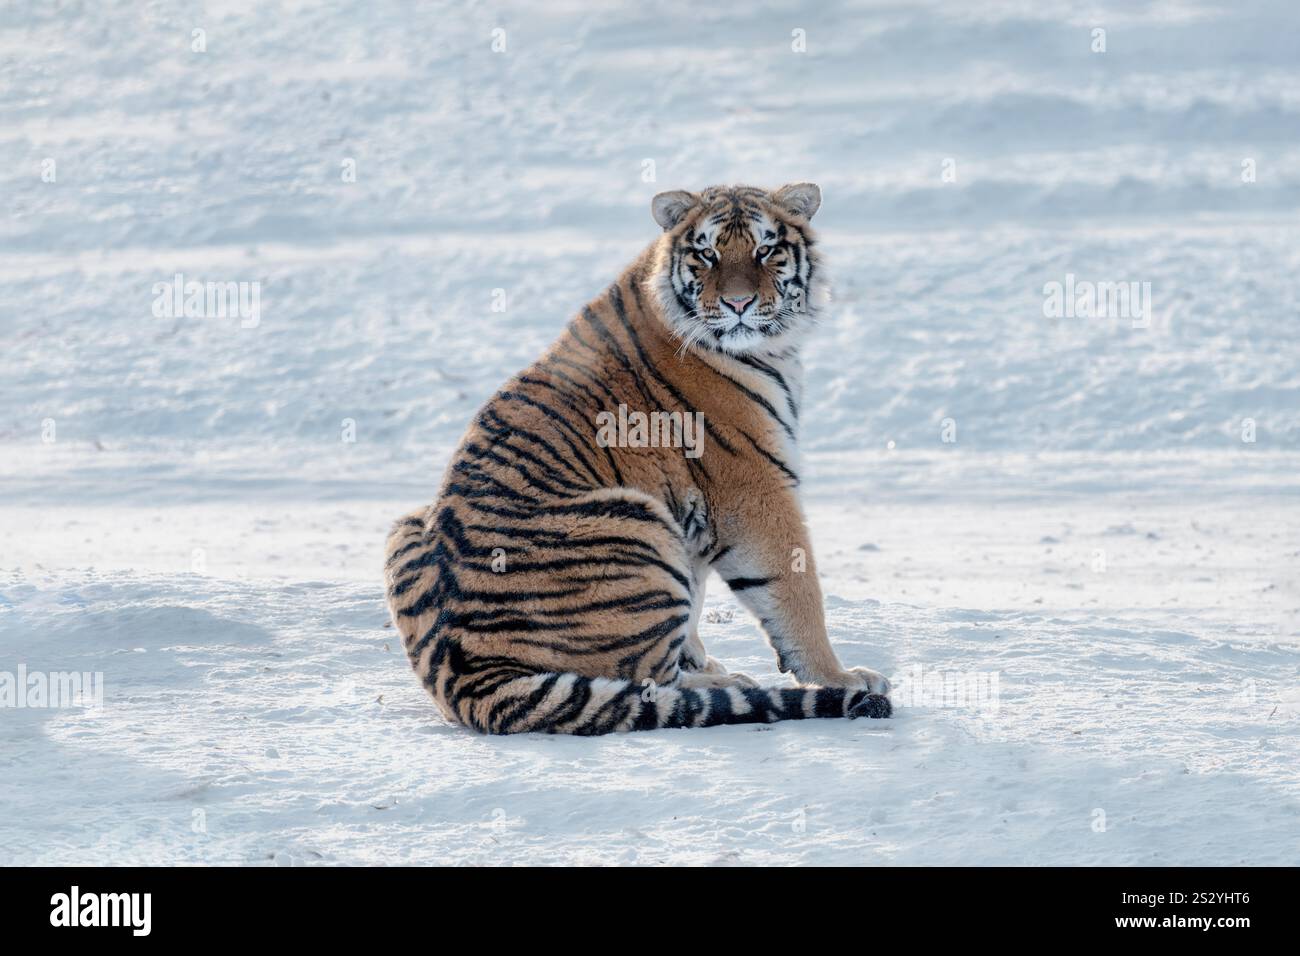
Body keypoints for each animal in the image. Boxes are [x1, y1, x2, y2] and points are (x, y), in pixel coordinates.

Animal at [384, 183, 891, 734]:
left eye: (765, 250)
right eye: (707, 253)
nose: (737, 303)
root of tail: (467, 678)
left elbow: (698, 602)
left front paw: (703, 655)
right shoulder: (757, 490)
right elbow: (797, 592)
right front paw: (838, 676)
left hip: (407, 525)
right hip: (637, 519)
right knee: (646, 682)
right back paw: (729, 683)